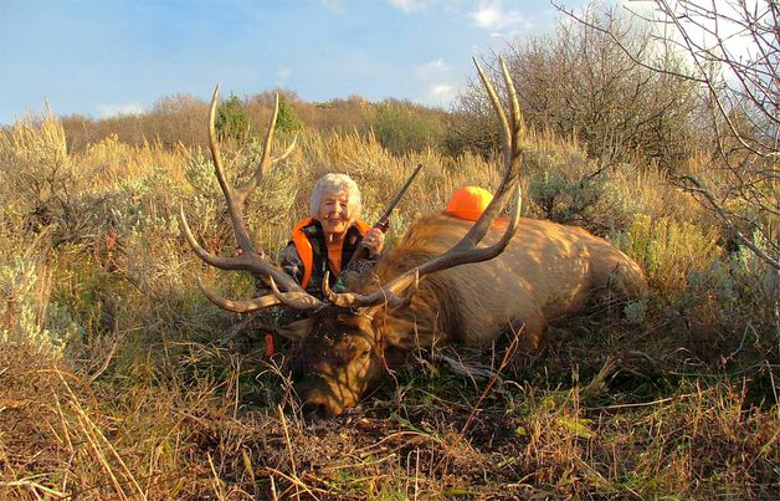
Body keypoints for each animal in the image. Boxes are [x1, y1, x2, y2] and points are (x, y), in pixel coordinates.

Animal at [180, 58, 648, 419]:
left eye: (363, 351)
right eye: (306, 350)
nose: (314, 403)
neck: (444, 307)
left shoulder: (525, 313)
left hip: (623, 281)